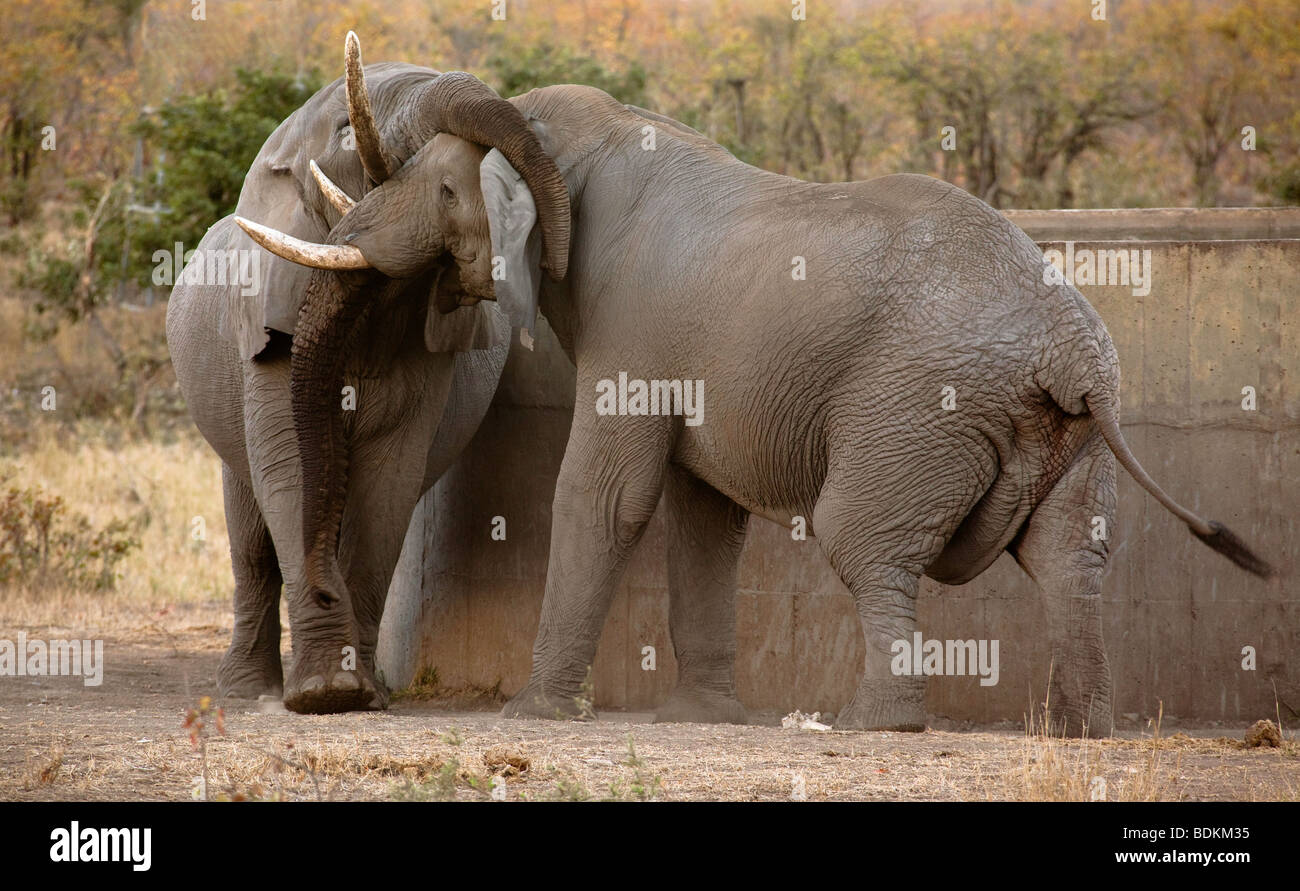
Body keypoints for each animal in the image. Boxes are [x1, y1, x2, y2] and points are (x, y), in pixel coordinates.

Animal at [165, 33, 569, 713]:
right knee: (251, 542)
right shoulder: (265, 327)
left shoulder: (427, 354)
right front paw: (324, 694)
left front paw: (356, 691)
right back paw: (246, 691)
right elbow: (289, 469)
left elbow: (388, 485)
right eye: (347, 137)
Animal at [245, 59, 1273, 736]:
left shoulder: (635, 324)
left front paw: (535, 714)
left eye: (438, 187)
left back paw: (869, 725)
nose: (325, 599)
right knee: (1071, 559)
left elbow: (607, 494)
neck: (584, 137)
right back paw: (1078, 732)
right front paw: (699, 715)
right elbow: (705, 512)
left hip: (921, 407)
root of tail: (1073, 356)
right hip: (1071, 434)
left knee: (862, 540)